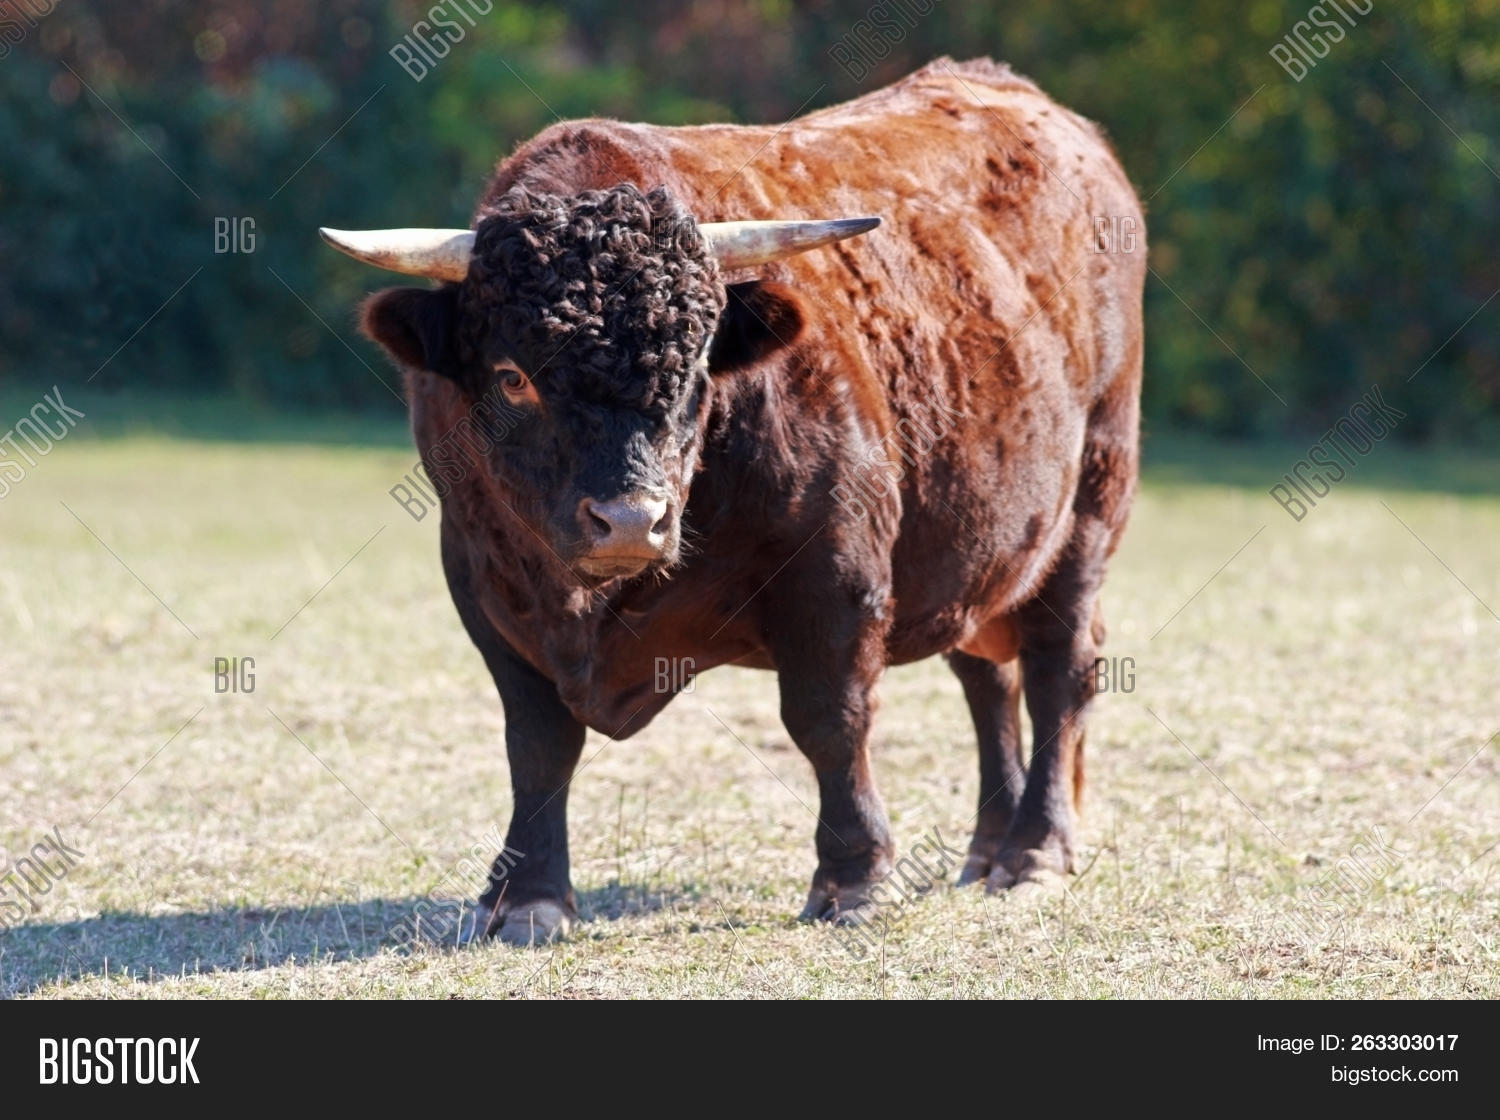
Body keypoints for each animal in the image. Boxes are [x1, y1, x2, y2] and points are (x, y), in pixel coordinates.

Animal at [323, 57, 1145, 944]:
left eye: (695, 364)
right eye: (512, 376)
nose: (630, 521)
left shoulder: (835, 573)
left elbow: (829, 720)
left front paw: (854, 877)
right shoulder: (482, 580)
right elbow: (537, 742)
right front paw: (527, 896)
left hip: (1090, 505)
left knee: (1060, 667)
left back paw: (1034, 851)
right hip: (976, 546)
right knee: (986, 678)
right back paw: (990, 848)